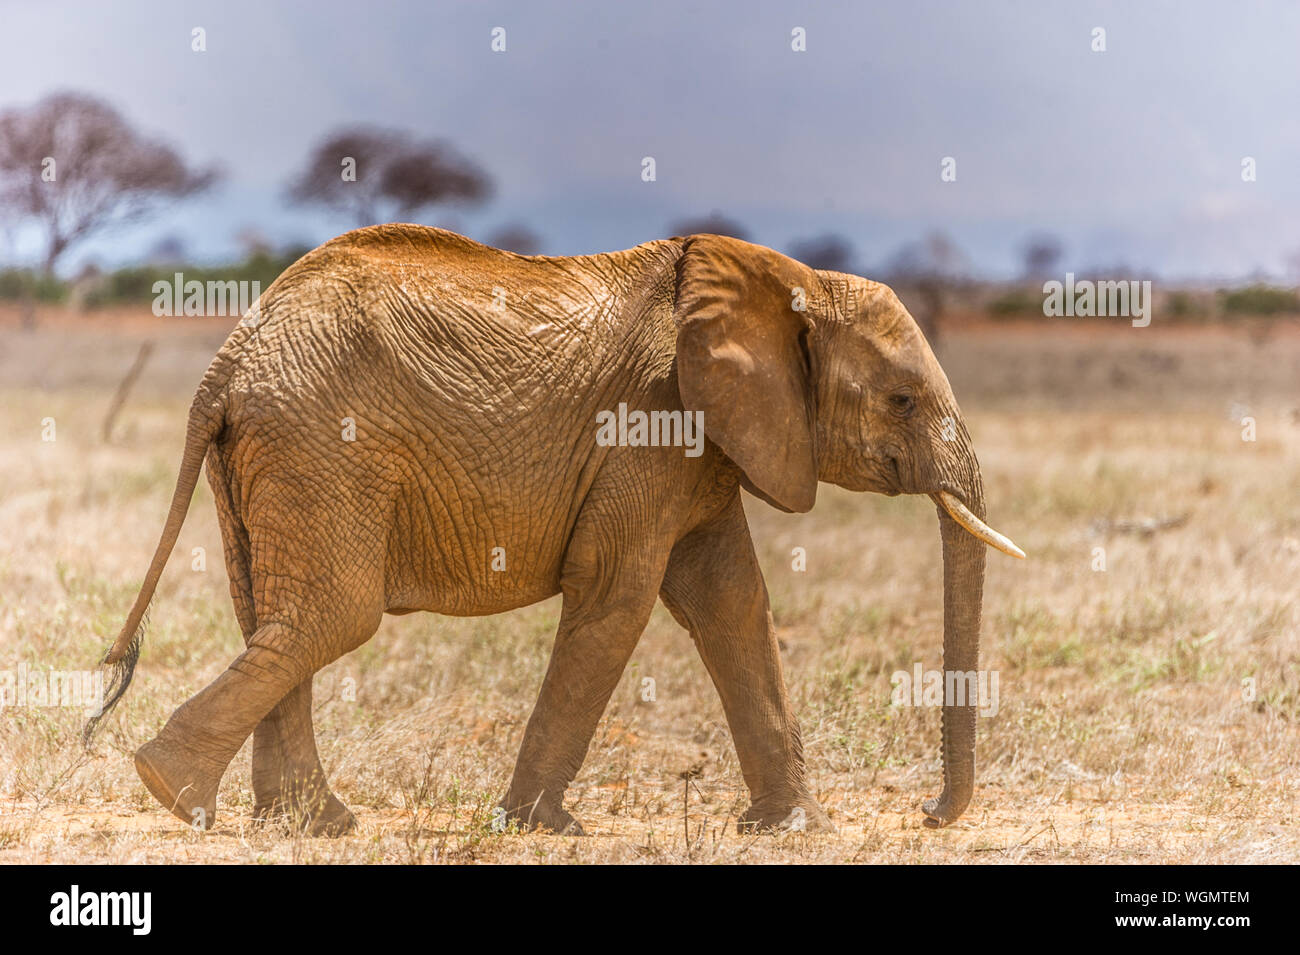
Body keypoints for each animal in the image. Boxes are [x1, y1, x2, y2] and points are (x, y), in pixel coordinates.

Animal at [87, 224, 1023, 836]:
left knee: (276, 620)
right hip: (318, 443)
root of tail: (227, 361)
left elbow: (732, 604)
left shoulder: (701, 443)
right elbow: (619, 597)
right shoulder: (650, 423)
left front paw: (794, 830)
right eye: (901, 401)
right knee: (329, 618)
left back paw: (308, 824)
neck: (786, 279)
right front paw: (541, 827)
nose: (929, 814)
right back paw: (175, 791)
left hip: (265, 454)